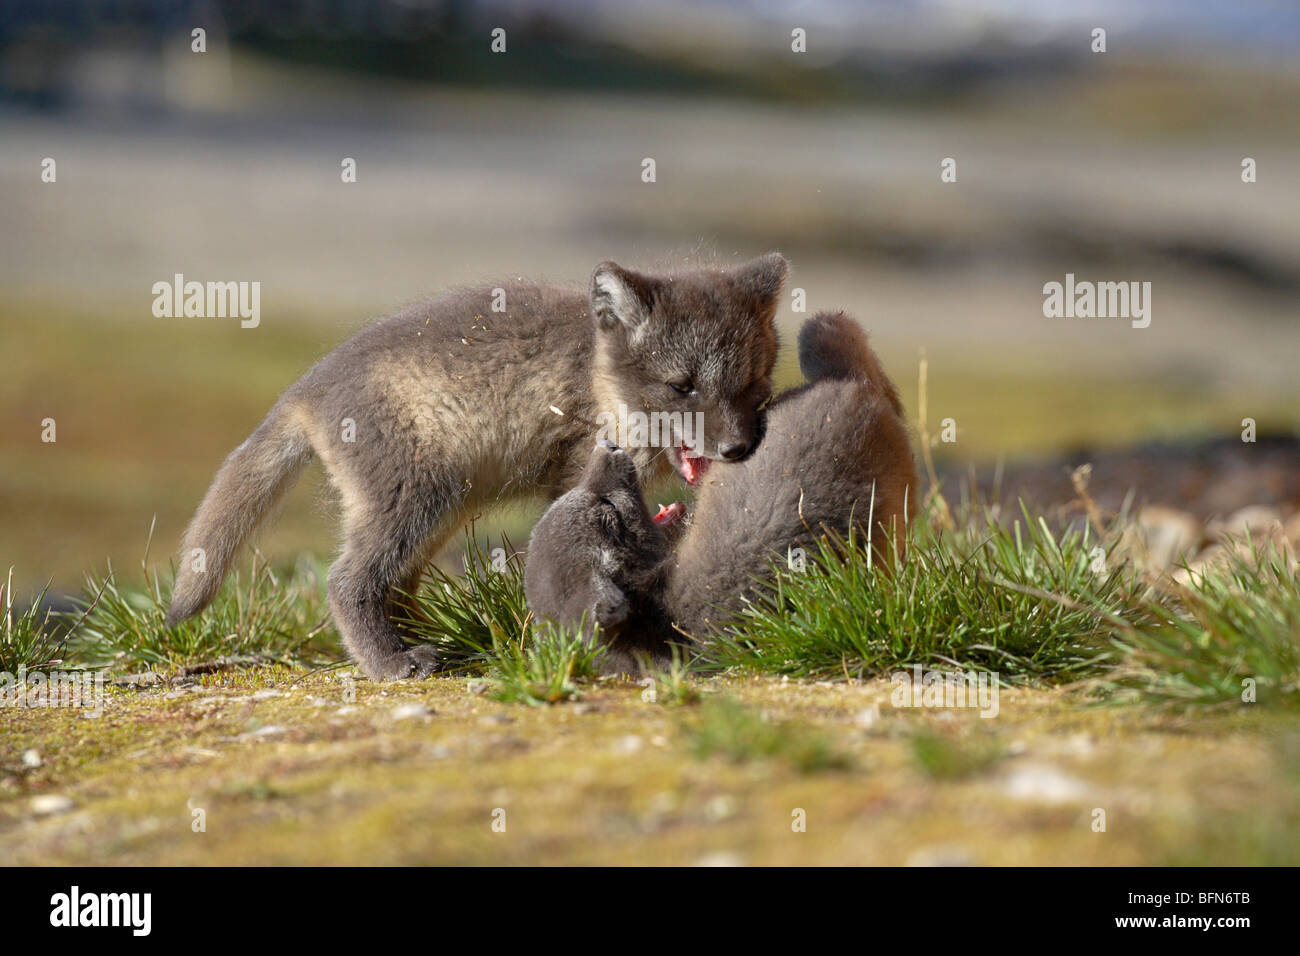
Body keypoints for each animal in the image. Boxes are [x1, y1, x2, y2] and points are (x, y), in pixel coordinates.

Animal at [166, 254, 788, 680]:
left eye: (753, 384)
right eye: (683, 387)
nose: (737, 450)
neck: (599, 379)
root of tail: (305, 389)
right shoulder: (578, 470)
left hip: (437, 508)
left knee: (396, 582)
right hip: (416, 500)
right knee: (345, 580)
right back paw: (392, 663)